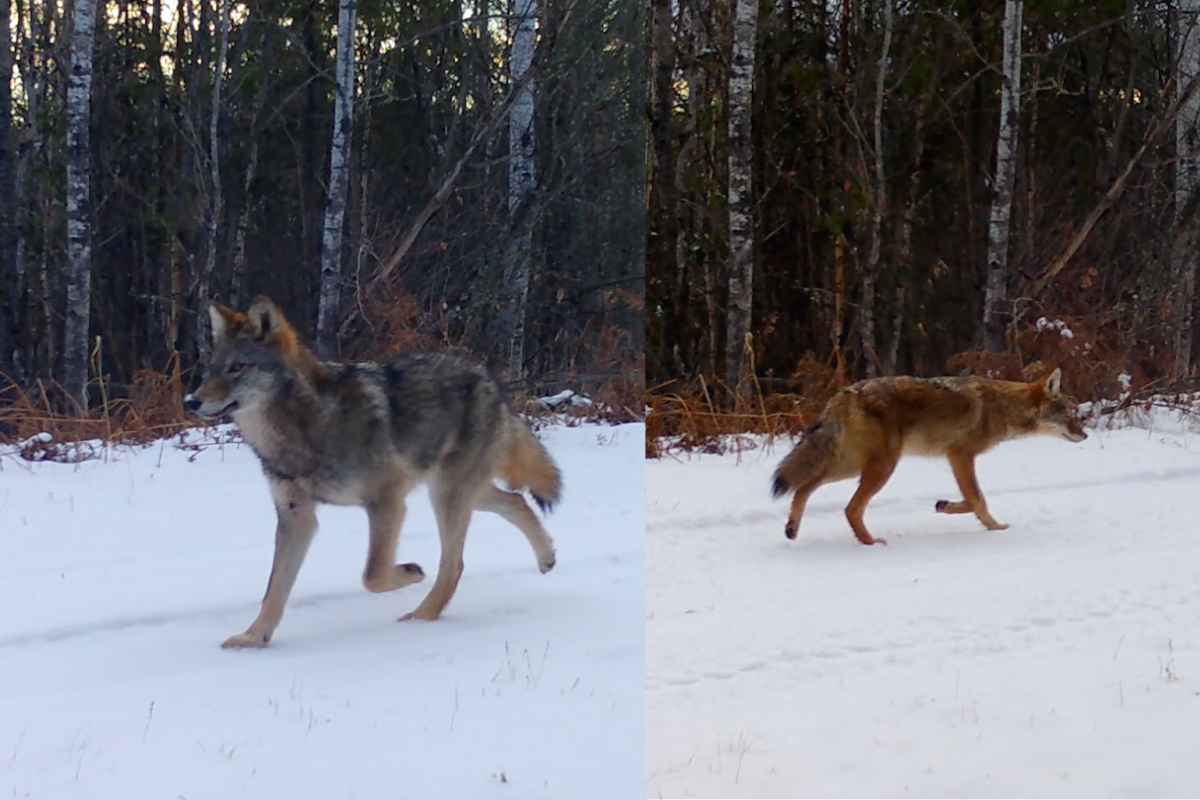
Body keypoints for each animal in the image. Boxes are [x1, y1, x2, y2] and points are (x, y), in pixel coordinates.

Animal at [184, 297, 561, 648]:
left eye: (237, 367)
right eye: (213, 368)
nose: (192, 401)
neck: (304, 427)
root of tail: (490, 379)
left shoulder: (387, 502)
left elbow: (372, 575)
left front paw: (410, 572)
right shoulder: (295, 516)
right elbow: (273, 592)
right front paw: (253, 639)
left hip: (447, 496)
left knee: (454, 564)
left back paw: (422, 617)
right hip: (459, 492)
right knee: (515, 502)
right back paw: (546, 559)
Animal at [770, 368, 1087, 546]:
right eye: (1068, 414)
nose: (1084, 434)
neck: (1003, 407)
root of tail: (845, 392)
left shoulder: (957, 457)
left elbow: (973, 499)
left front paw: (946, 505)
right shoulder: (960, 455)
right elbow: (977, 499)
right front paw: (994, 526)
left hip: (852, 467)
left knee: (804, 487)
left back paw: (792, 528)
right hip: (881, 468)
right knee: (850, 508)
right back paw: (870, 542)